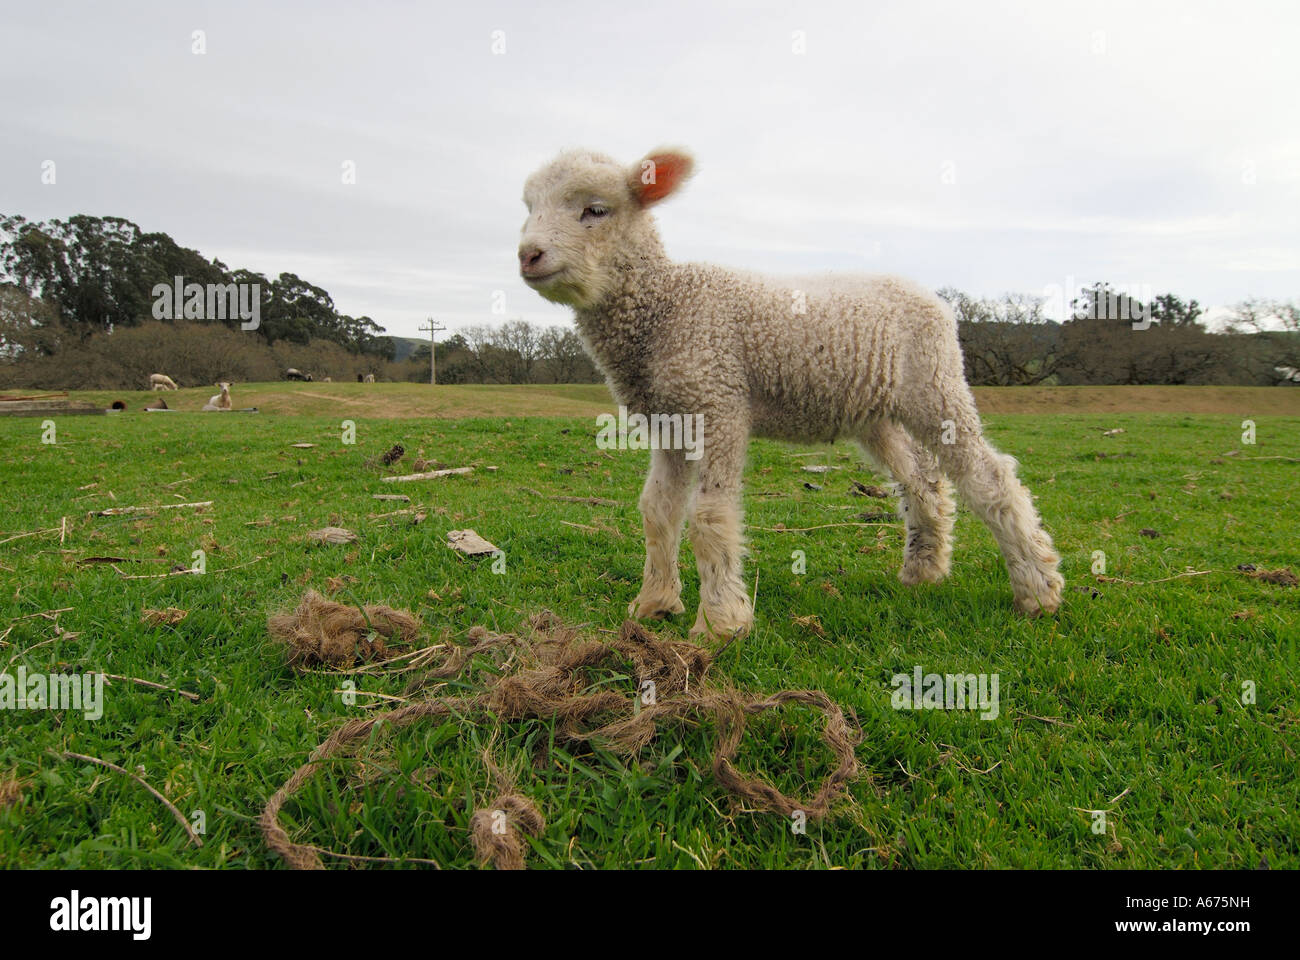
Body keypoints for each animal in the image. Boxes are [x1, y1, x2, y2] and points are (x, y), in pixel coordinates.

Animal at [518, 147, 1064, 640]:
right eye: (528, 207)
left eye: (596, 209)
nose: (528, 255)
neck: (666, 306)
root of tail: (935, 300)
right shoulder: (668, 418)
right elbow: (657, 510)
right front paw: (653, 603)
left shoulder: (719, 401)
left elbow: (709, 516)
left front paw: (720, 623)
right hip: (877, 414)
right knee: (922, 482)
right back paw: (922, 571)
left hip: (936, 385)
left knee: (991, 478)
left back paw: (1038, 589)